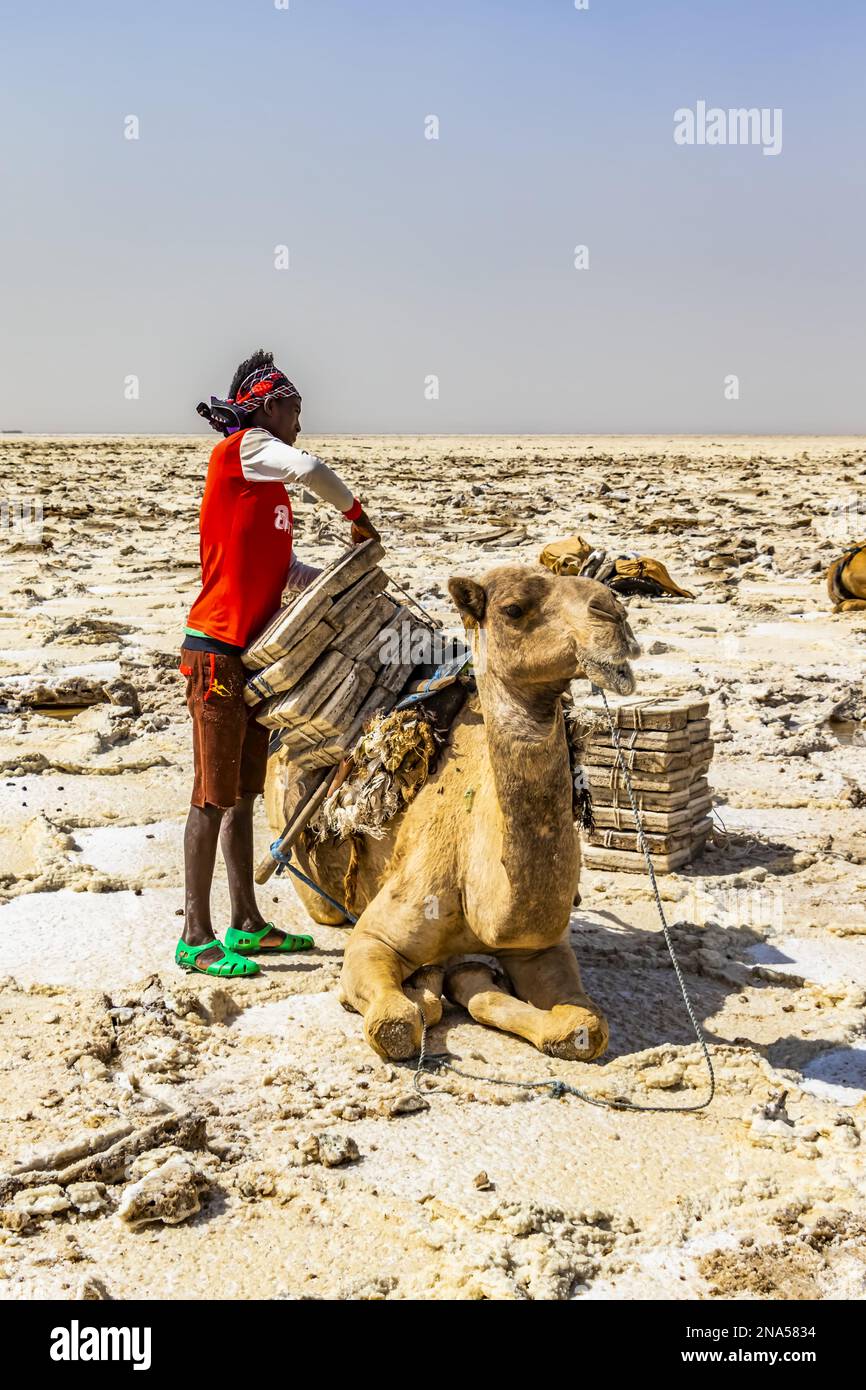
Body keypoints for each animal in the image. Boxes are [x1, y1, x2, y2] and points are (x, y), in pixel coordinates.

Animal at [264, 564, 640, 1062]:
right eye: (513, 608)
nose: (614, 613)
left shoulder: (542, 949)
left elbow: (584, 1027)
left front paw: (464, 979)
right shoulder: (373, 938)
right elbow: (396, 1023)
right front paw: (423, 988)